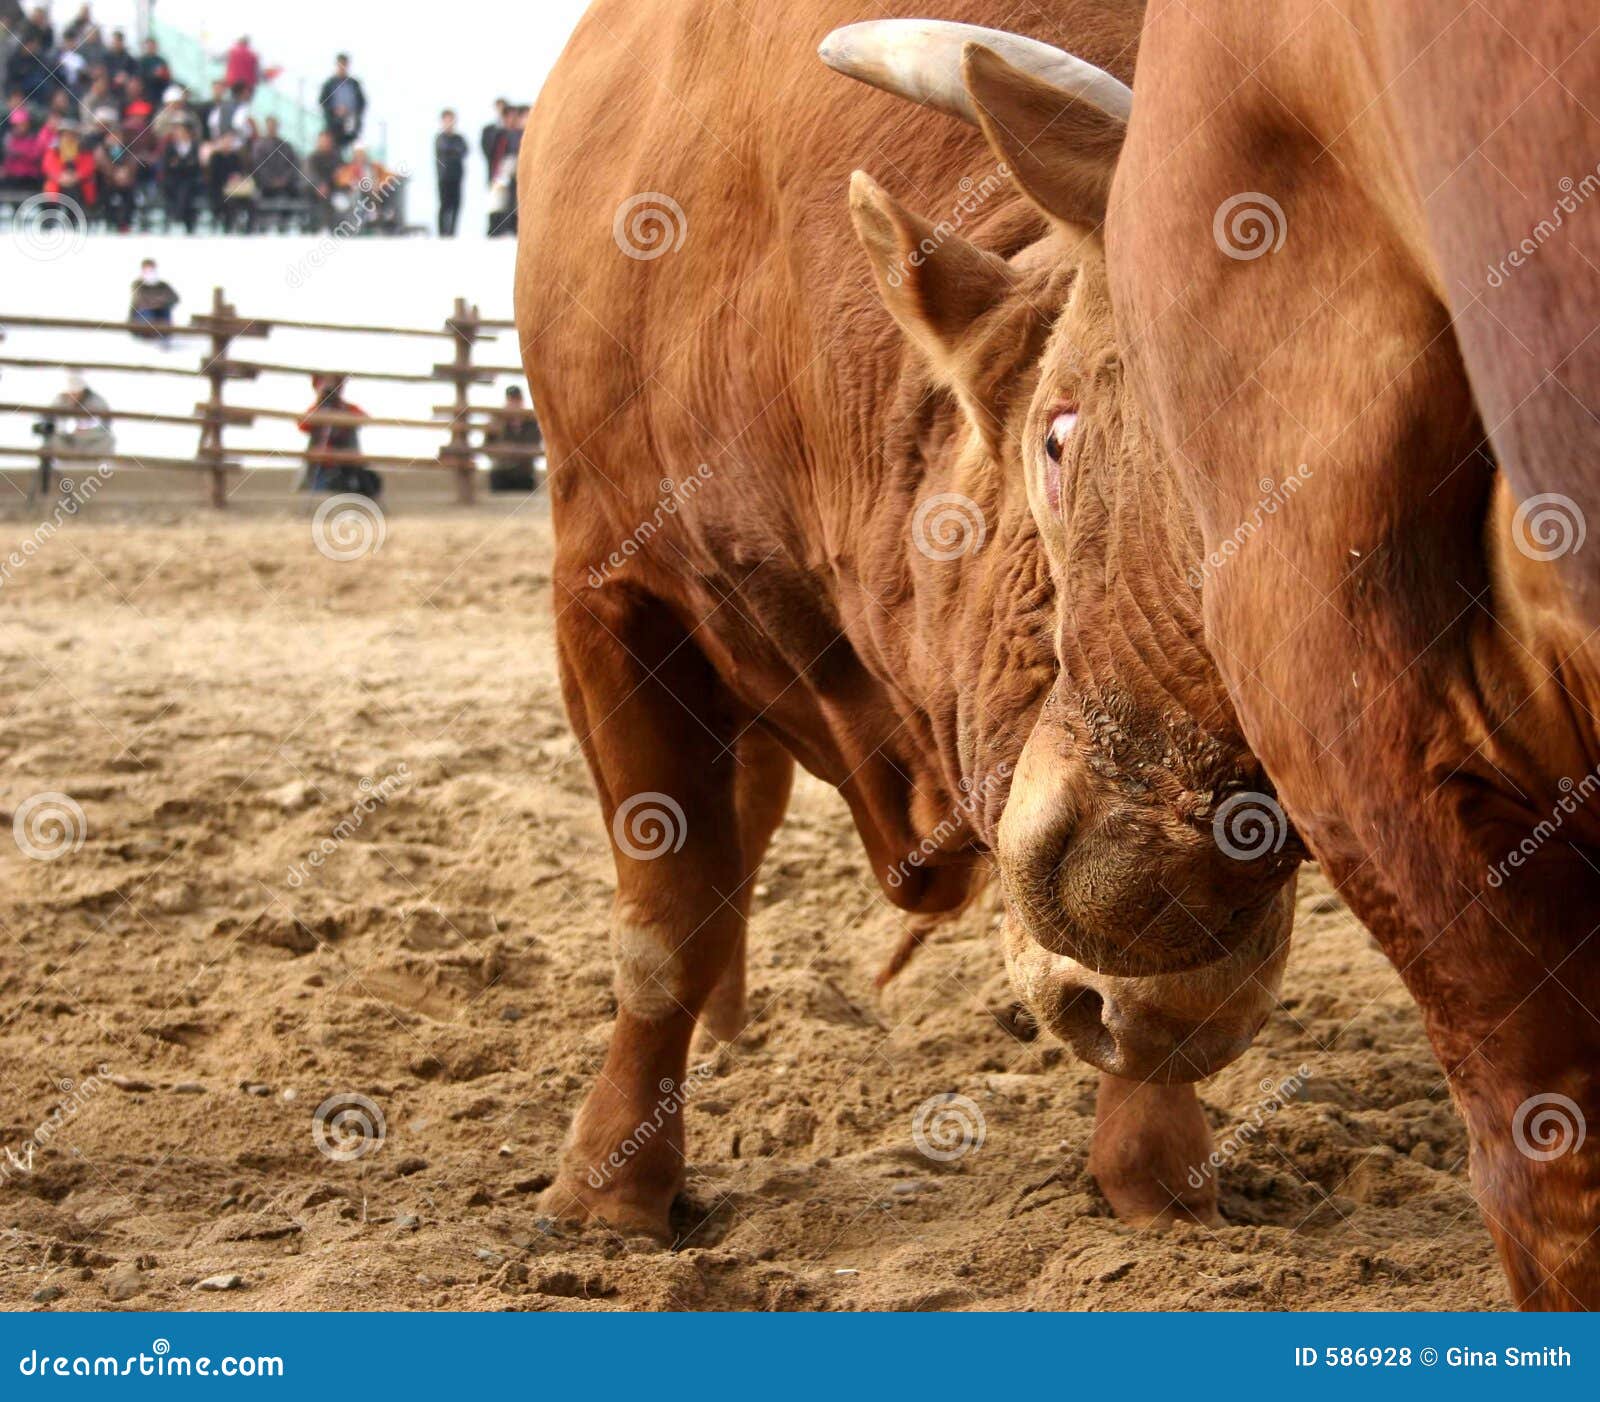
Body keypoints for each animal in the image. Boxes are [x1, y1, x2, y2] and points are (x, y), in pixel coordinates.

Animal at [515, 0, 1301, 1244]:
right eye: (1055, 437)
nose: (1191, 987)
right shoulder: (605, 590)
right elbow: (666, 915)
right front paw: (609, 1184)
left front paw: (1157, 1168)